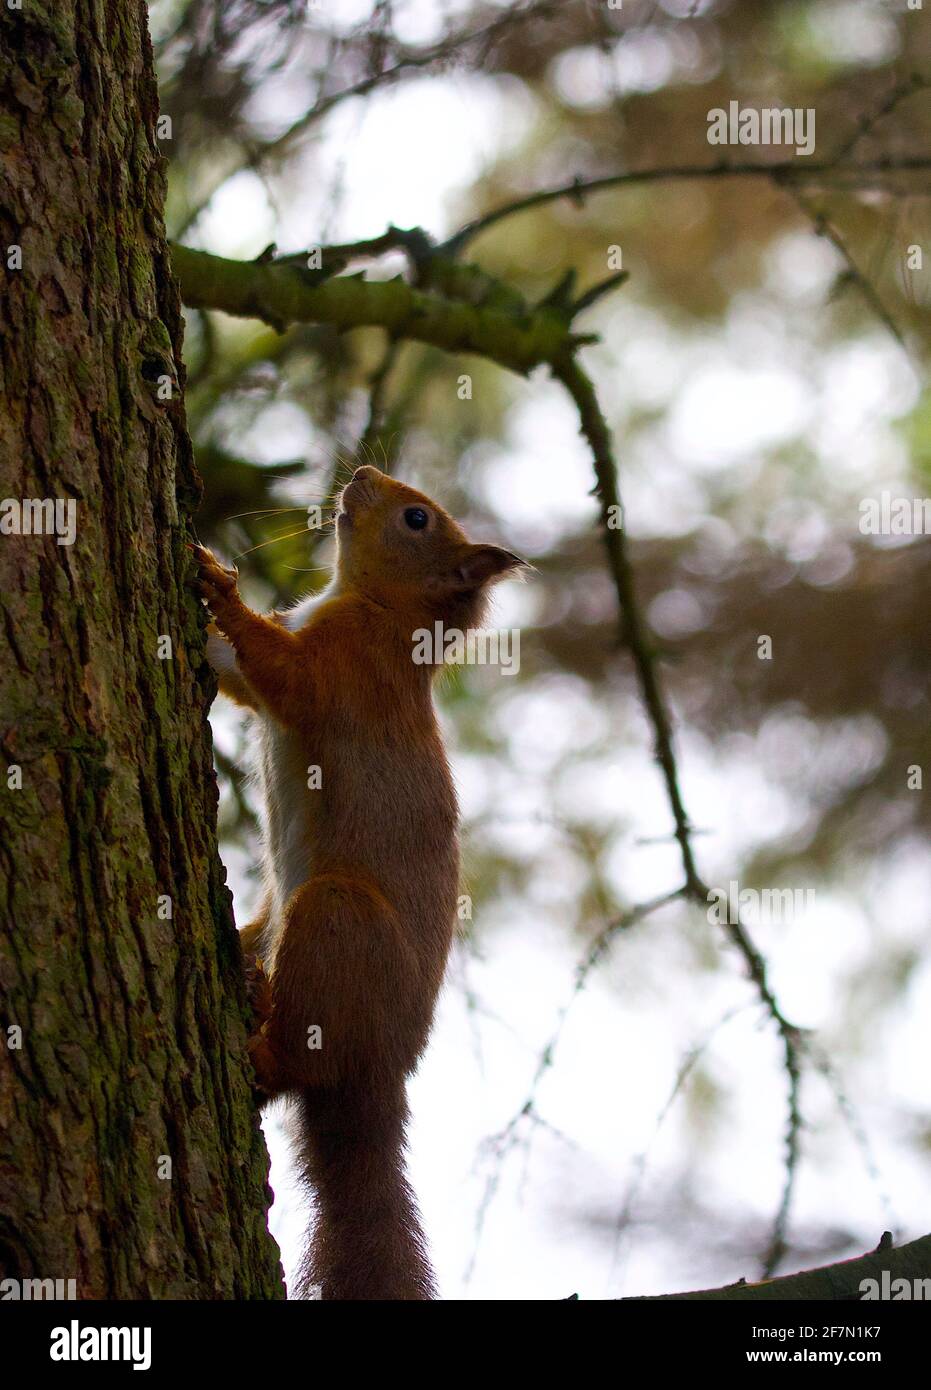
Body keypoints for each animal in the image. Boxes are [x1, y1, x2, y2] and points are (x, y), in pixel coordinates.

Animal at [193, 464, 525, 1300]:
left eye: (416, 519)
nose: (362, 474)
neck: (377, 607)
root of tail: (383, 1072)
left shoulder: (344, 669)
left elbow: (285, 677)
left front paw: (216, 582)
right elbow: (240, 680)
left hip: (336, 921)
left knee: (297, 1067)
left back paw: (260, 1050)